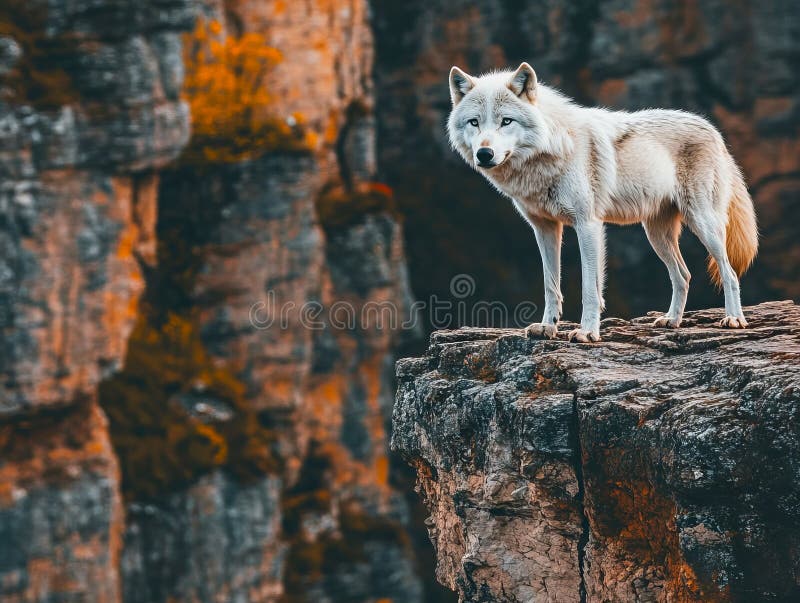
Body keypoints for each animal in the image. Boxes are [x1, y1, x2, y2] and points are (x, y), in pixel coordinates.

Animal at [447, 62, 758, 342]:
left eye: (506, 121)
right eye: (474, 122)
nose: (484, 154)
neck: (553, 151)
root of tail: (713, 130)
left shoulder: (588, 225)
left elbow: (590, 289)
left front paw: (587, 332)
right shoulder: (545, 229)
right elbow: (551, 285)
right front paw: (548, 327)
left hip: (703, 224)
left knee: (729, 273)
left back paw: (734, 319)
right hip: (656, 234)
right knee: (684, 275)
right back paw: (672, 320)